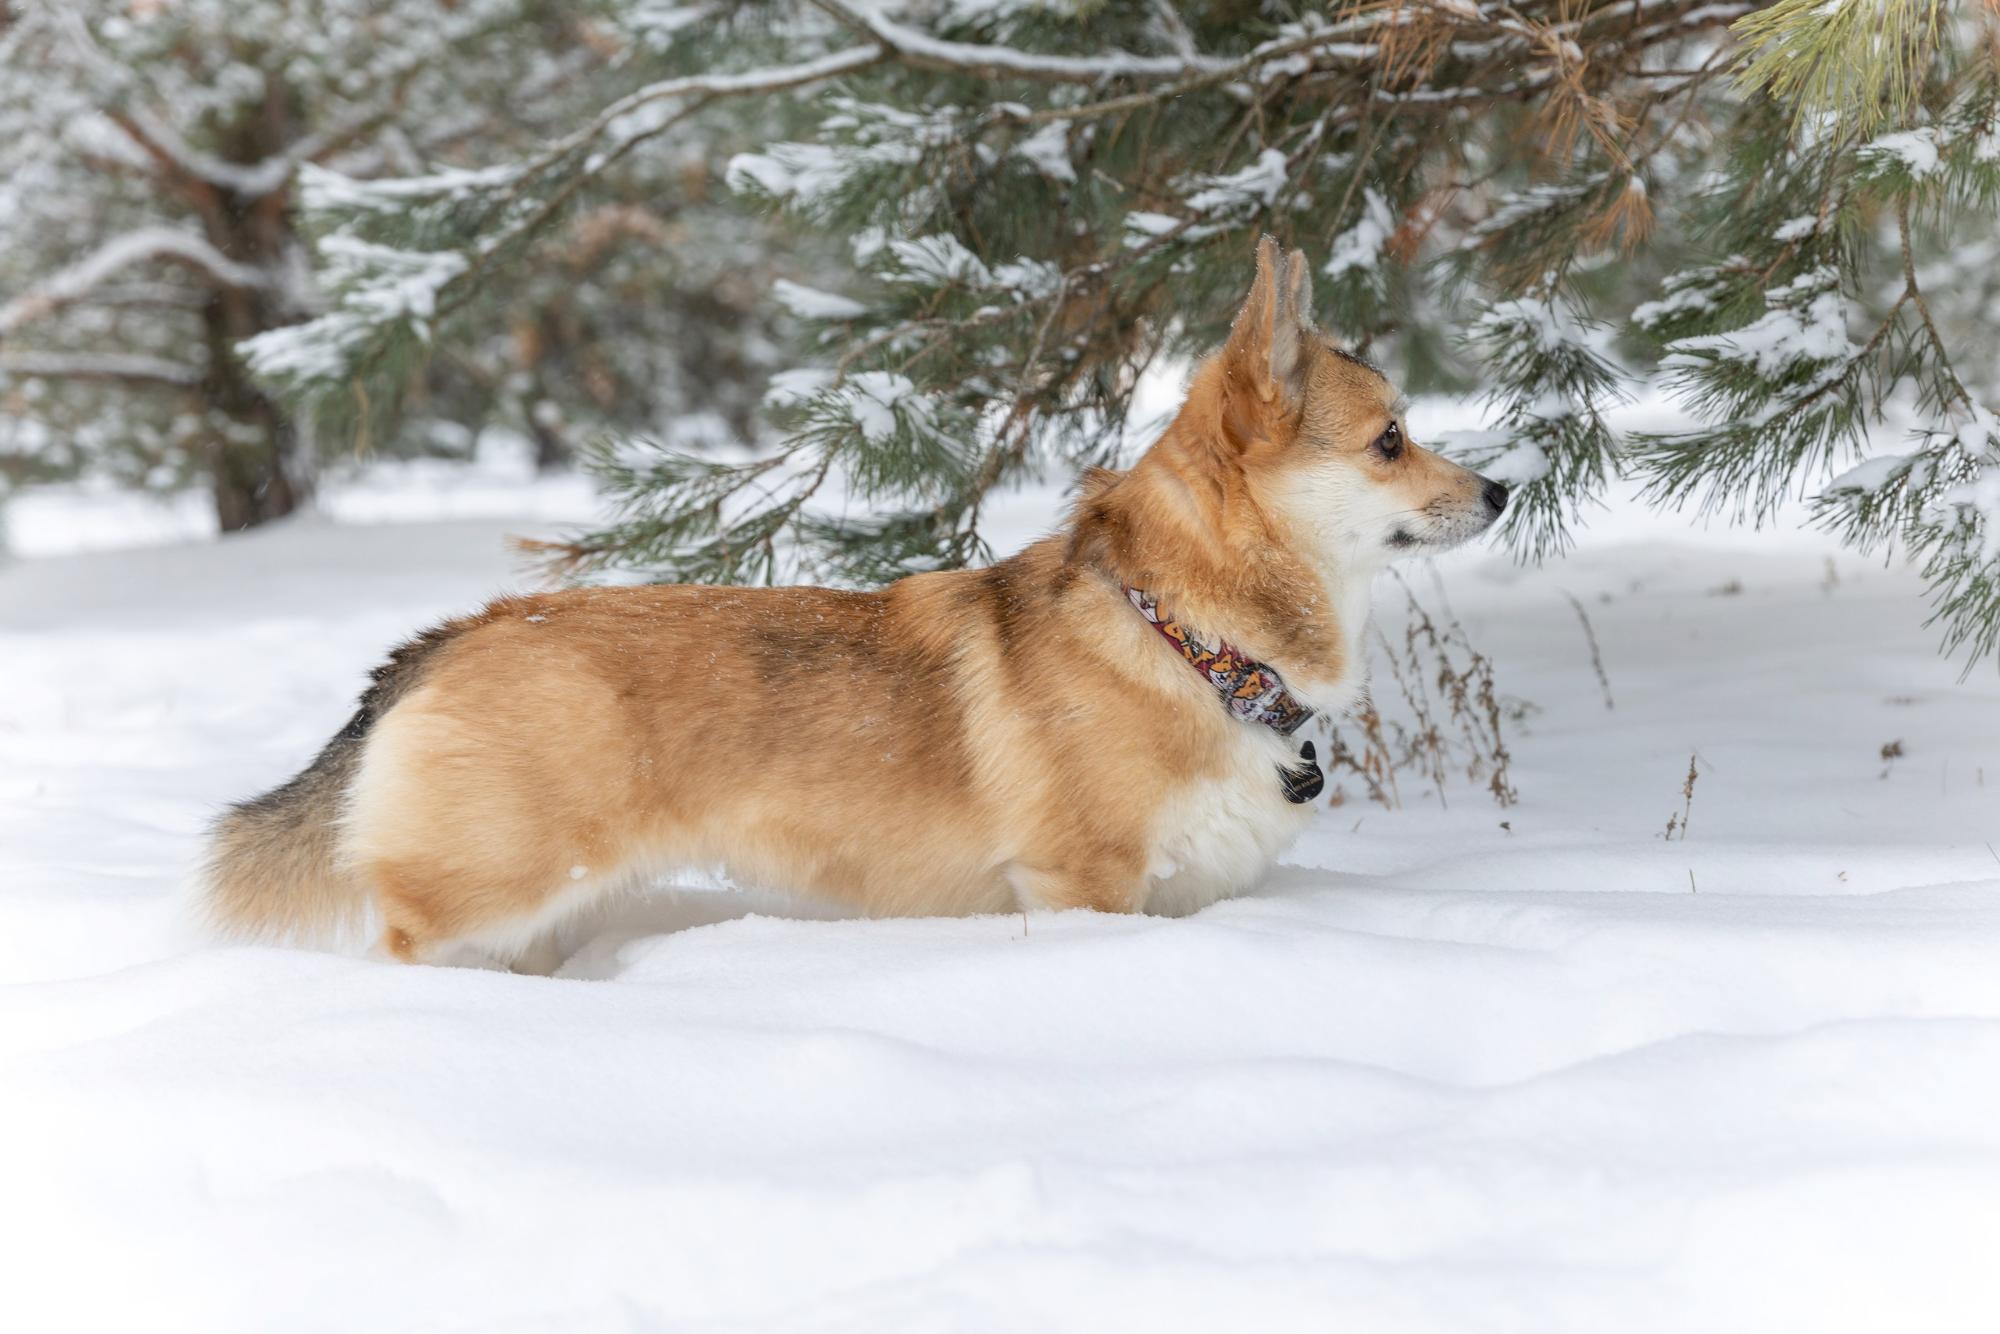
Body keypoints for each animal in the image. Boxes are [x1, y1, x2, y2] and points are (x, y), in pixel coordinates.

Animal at [207, 240, 1504, 964]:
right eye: (1391, 439)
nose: (1501, 489)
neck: (1186, 636)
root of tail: (443, 640)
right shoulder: (1083, 886)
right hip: (485, 894)